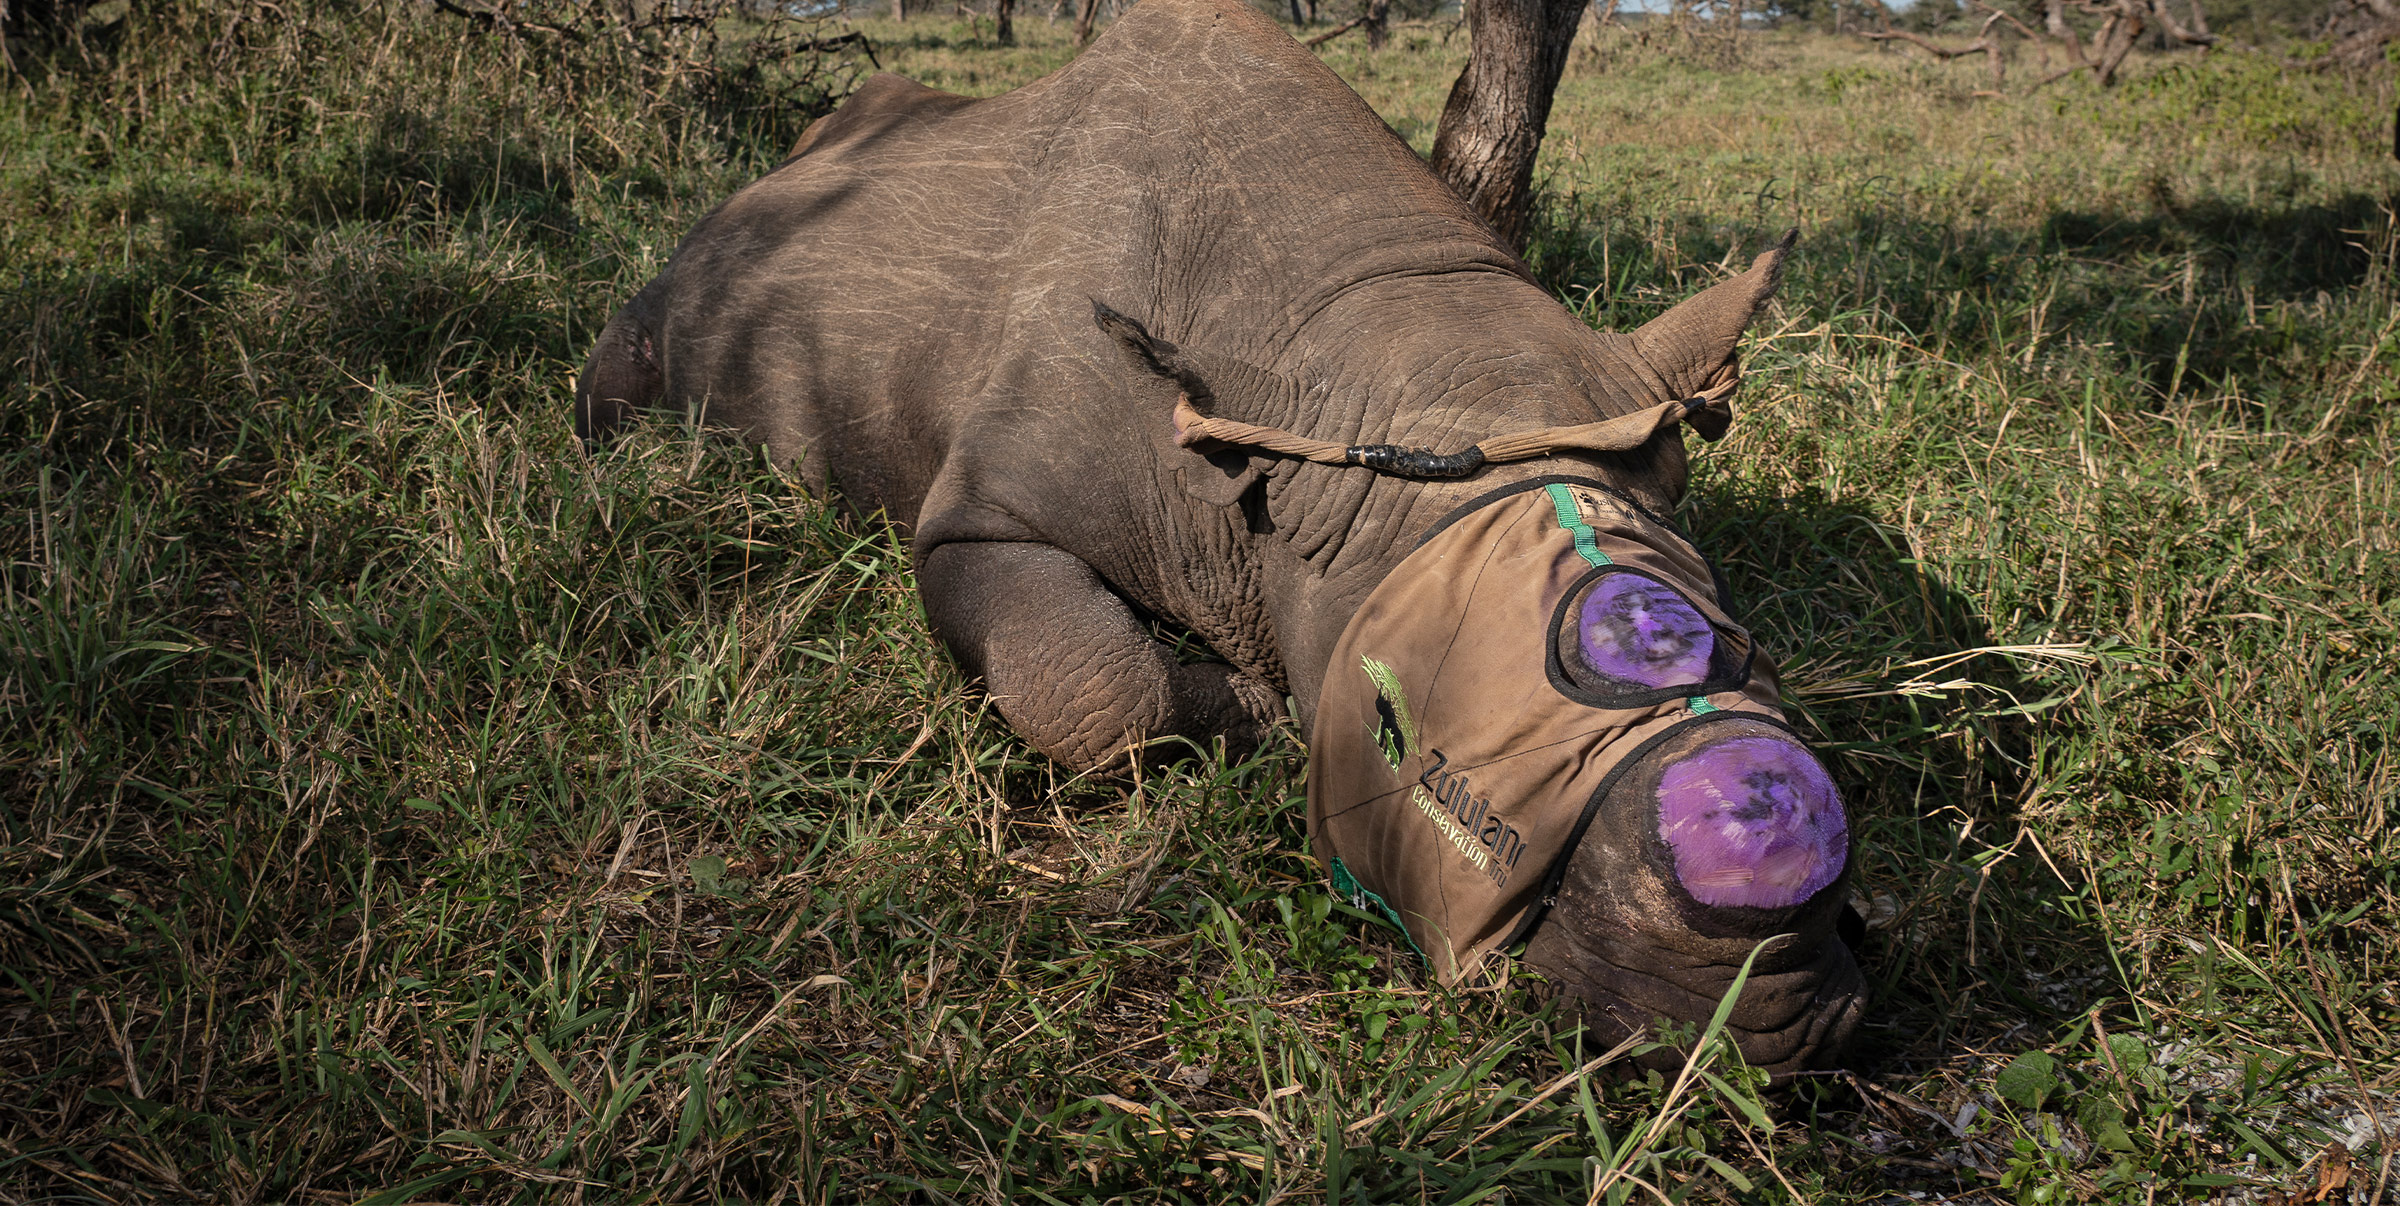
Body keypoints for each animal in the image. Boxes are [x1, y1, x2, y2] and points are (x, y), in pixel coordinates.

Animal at [577, 0, 1864, 1075]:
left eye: (1746, 640)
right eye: (1395, 733)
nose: (1758, 1008)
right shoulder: (979, 515)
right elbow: (1093, 684)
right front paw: (1250, 705)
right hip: (695, 267)